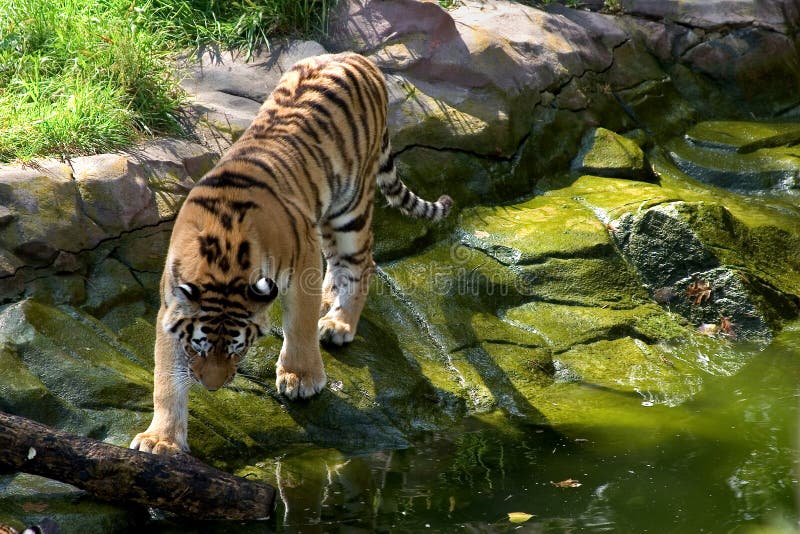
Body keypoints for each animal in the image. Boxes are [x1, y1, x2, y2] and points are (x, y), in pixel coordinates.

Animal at [129, 52, 452, 454]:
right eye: (199, 348)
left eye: (238, 349)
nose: (214, 386)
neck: (223, 256)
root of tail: (355, 56)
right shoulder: (171, 305)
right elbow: (166, 376)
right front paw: (160, 440)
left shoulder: (302, 267)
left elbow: (299, 325)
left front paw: (301, 377)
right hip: (324, 217)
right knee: (341, 264)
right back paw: (330, 301)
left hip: (350, 208)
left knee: (364, 263)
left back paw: (338, 324)